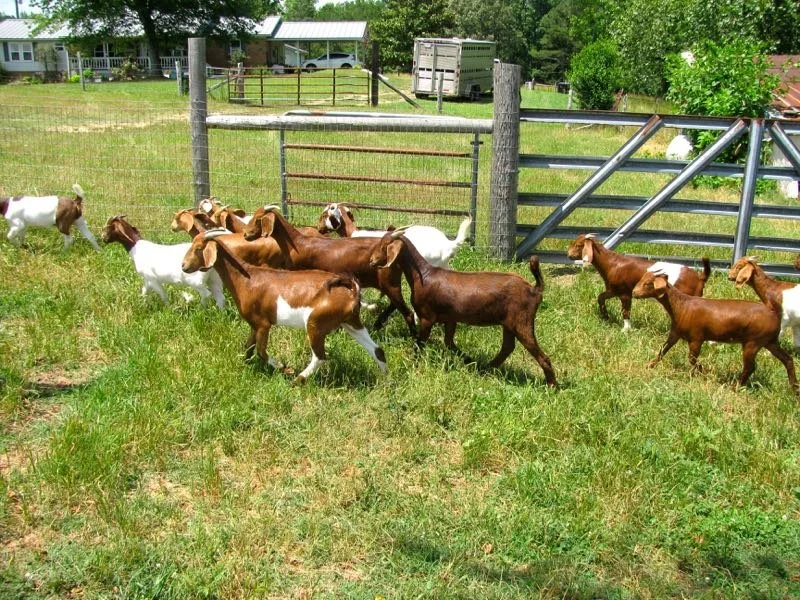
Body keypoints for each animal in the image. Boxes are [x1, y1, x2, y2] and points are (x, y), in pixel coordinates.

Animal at [181, 228, 387, 382]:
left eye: (198, 248)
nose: (184, 266)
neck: (246, 278)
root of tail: (351, 291)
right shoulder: (254, 325)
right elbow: (248, 347)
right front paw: (244, 365)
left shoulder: (263, 324)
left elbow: (261, 351)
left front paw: (285, 368)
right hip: (350, 322)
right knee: (376, 349)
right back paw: (386, 379)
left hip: (316, 323)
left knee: (320, 356)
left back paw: (298, 379)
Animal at [242, 205, 418, 337]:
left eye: (258, 220)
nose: (245, 235)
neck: (297, 243)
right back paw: (378, 324)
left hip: (390, 283)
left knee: (407, 312)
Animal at [367, 229, 557, 386]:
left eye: (383, 245)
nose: (371, 261)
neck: (422, 275)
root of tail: (535, 289)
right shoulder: (451, 318)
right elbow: (449, 343)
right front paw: (469, 360)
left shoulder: (426, 317)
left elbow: (420, 343)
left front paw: (413, 363)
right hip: (509, 323)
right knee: (507, 348)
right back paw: (485, 368)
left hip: (522, 321)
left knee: (539, 355)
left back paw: (552, 386)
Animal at [567, 233, 711, 331]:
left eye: (578, 245)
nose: (568, 255)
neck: (612, 263)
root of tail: (699, 277)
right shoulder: (613, 290)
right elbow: (600, 297)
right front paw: (605, 316)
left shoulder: (625, 293)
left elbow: (626, 311)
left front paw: (625, 330)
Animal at [632, 270, 798, 393]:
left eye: (647, 284)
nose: (634, 293)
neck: (680, 306)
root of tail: (774, 316)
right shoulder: (675, 333)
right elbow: (663, 349)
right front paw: (650, 365)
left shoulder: (696, 337)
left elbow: (692, 359)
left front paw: (704, 372)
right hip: (770, 341)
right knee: (788, 359)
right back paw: (795, 388)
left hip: (753, 342)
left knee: (750, 367)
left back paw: (735, 386)